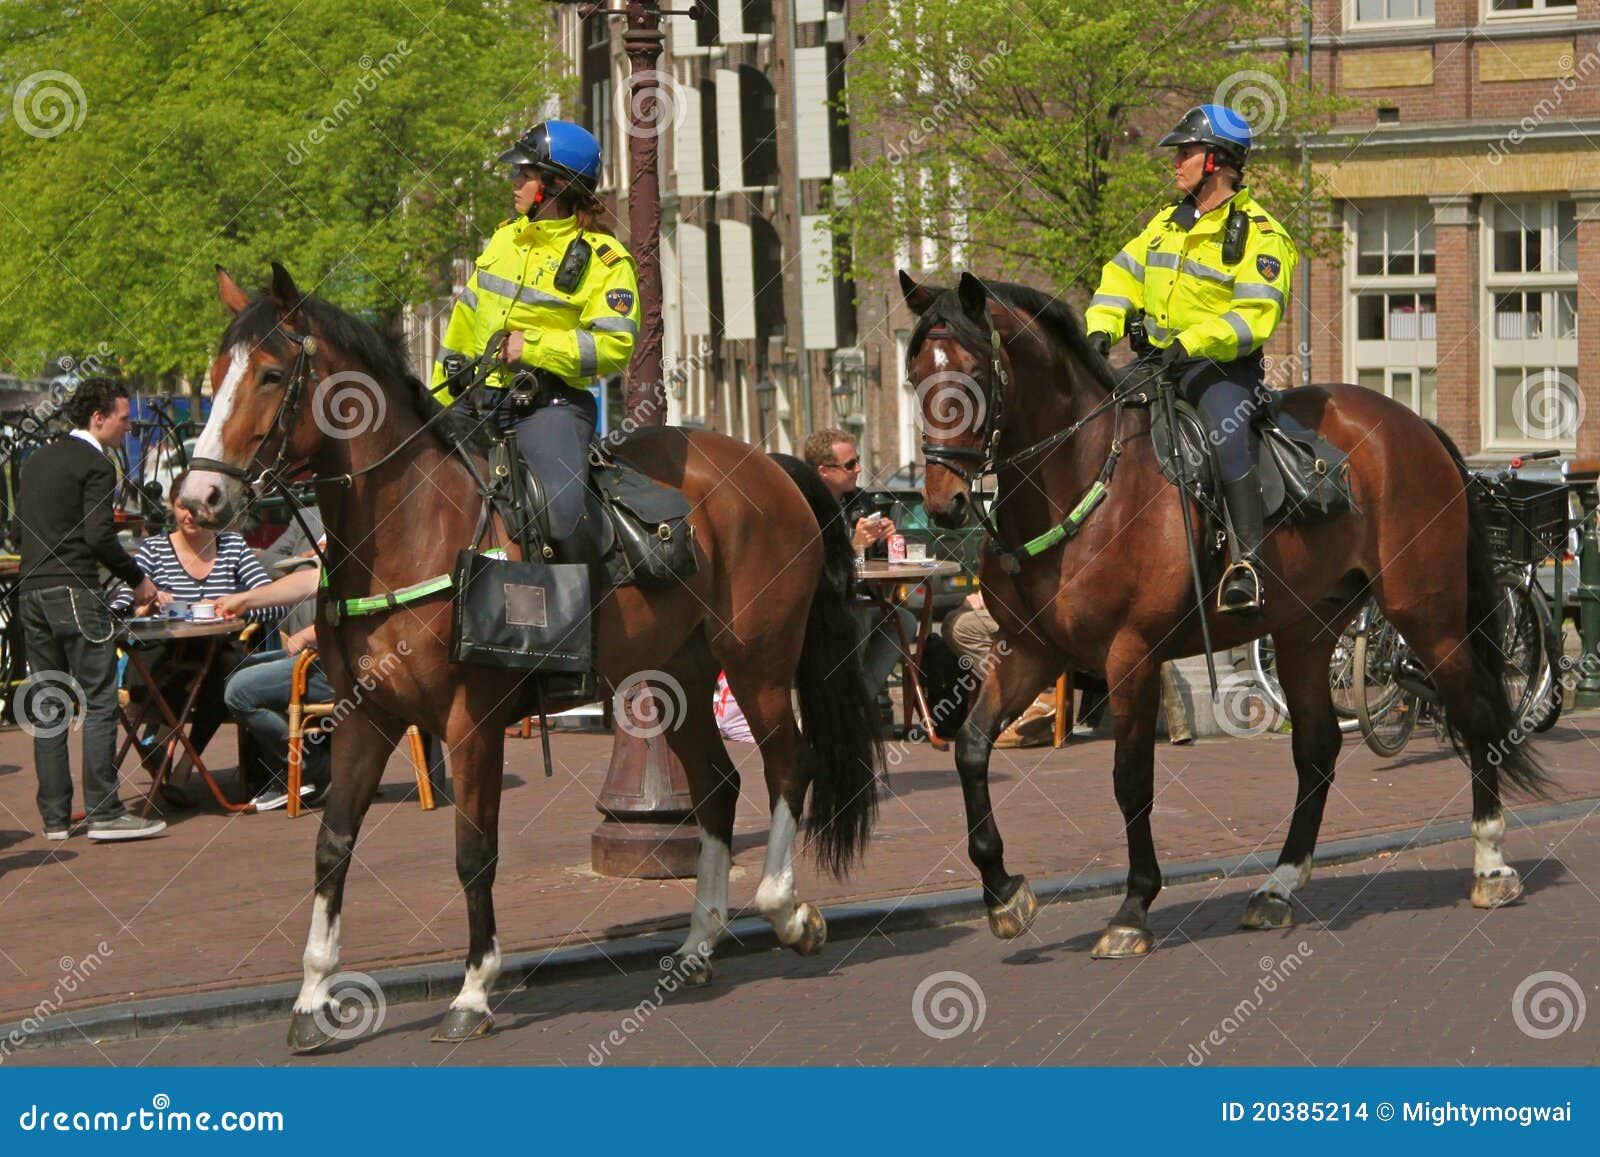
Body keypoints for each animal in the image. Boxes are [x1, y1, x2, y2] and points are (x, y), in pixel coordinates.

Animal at [181, 264, 879, 1048]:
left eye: (272, 374)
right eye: (214, 376)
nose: (198, 495)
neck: (409, 526)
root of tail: (768, 464)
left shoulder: (472, 721)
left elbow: (472, 851)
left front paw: (473, 992)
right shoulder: (368, 714)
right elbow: (332, 845)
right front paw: (311, 999)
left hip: (758, 663)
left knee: (790, 765)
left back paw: (788, 912)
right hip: (677, 675)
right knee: (717, 788)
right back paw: (699, 944)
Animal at [901, 270, 1548, 958]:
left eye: (975, 372)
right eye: (915, 375)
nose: (943, 503)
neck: (1084, 479)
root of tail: (1416, 427)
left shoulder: (1130, 656)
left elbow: (1131, 778)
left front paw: (1132, 907)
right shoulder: (1028, 651)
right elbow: (971, 749)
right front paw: (1003, 894)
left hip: (1428, 616)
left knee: (1475, 714)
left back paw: (1490, 864)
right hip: (1305, 632)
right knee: (1317, 748)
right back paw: (1278, 887)